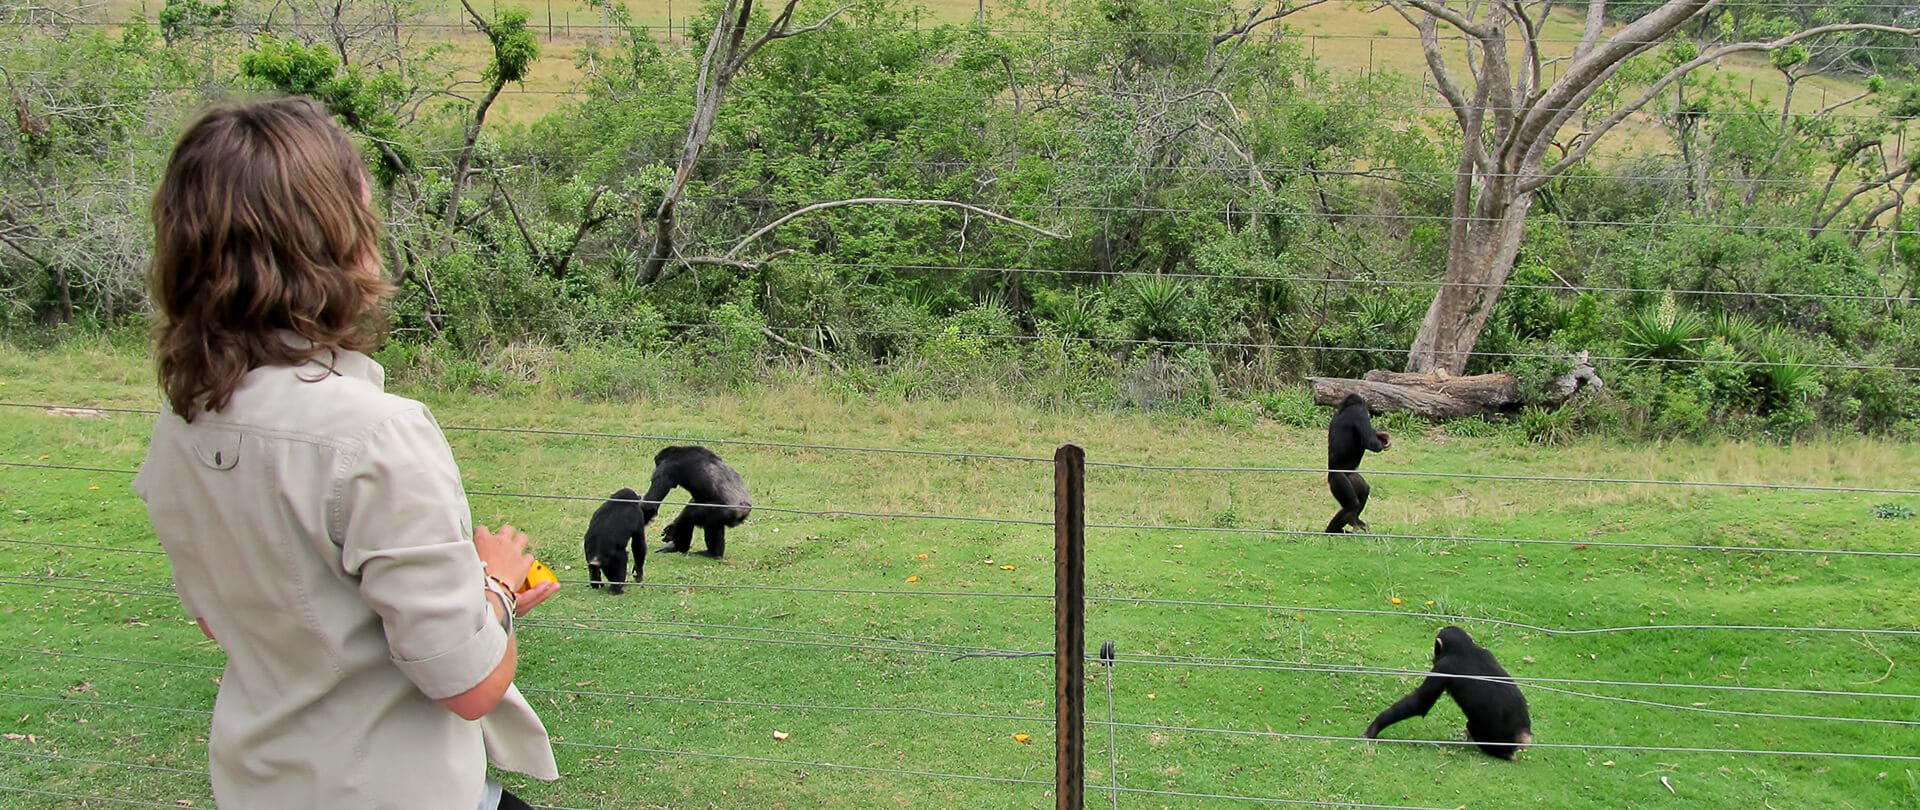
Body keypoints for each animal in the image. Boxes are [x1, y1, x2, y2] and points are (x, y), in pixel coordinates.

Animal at [1325, 393, 1390, 534]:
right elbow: (1371, 443)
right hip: (1338, 480)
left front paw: (1381, 435)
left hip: (1353, 477)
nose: (1370, 412)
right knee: (1351, 505)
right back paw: (1333, 530)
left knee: (1364, 491)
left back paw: (1353, 521)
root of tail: (1329, 475)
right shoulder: (1359, 412)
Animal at [1364, 626, 1533, 760]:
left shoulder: (1442, 668)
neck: (1464, 650)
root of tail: (1523, 736)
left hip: (1493, 739)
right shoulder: (1487, 652)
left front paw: (1376, 725)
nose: (1433, 656)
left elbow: (1420, 702)